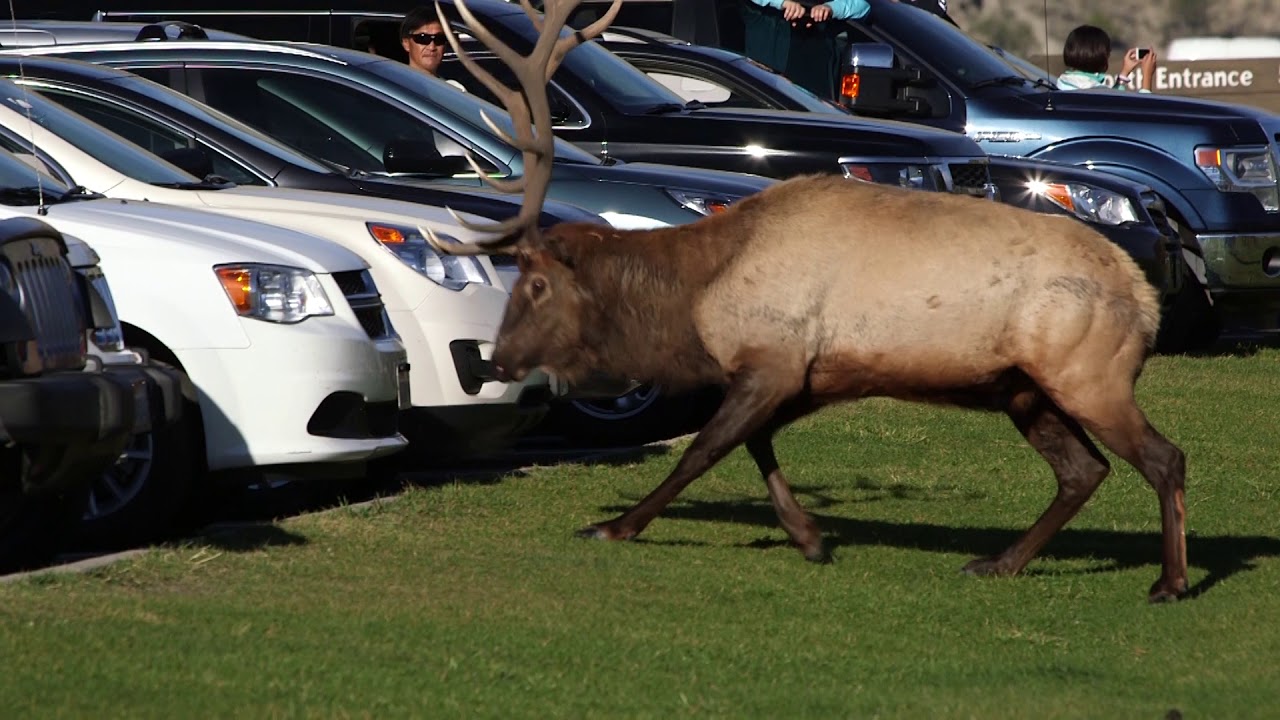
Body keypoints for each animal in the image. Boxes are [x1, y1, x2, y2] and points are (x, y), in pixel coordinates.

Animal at [426, 0, 1189, 603]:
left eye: (536, 283)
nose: (499, 359)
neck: (696, 298)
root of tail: (1145, 297)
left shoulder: (771, 358)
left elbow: (701, 450)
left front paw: (617, 524)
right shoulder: (804, 373)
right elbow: (754, 443)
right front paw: (809, 535)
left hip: (1087, 371)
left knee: (1163, 457)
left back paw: (1170, 581)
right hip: (1021, 389)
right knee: (1083, 470)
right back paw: (997, 562)